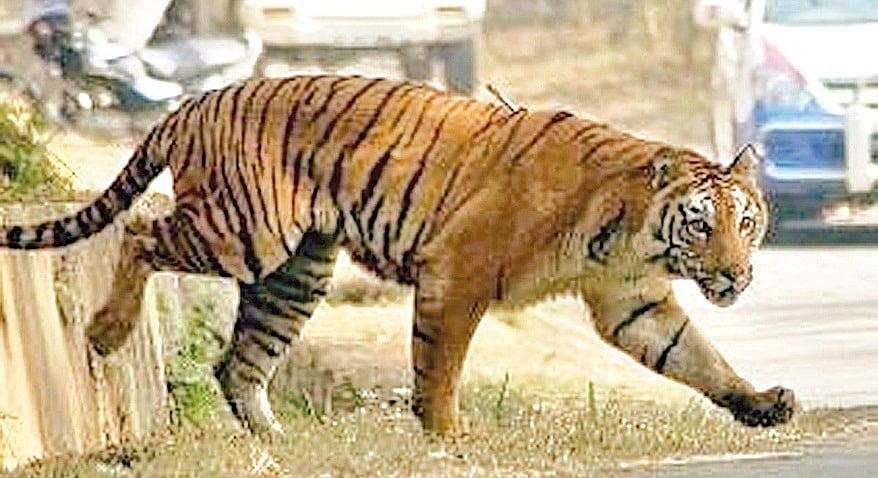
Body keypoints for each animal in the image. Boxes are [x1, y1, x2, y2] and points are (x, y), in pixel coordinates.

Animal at [0, 74, 795, 436]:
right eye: (701, 226)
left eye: (746, 222)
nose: (735, 274)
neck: (635, 231)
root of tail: (193, 101)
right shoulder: (460, 271)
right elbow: (439, 365)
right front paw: (448, 435)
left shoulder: (631, 300)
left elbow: (698, 358)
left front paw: (759, 403)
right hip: (246, 235)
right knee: (140, 234)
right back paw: (106, 333)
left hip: (295, 272)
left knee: (237, 364)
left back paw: (282, 444)